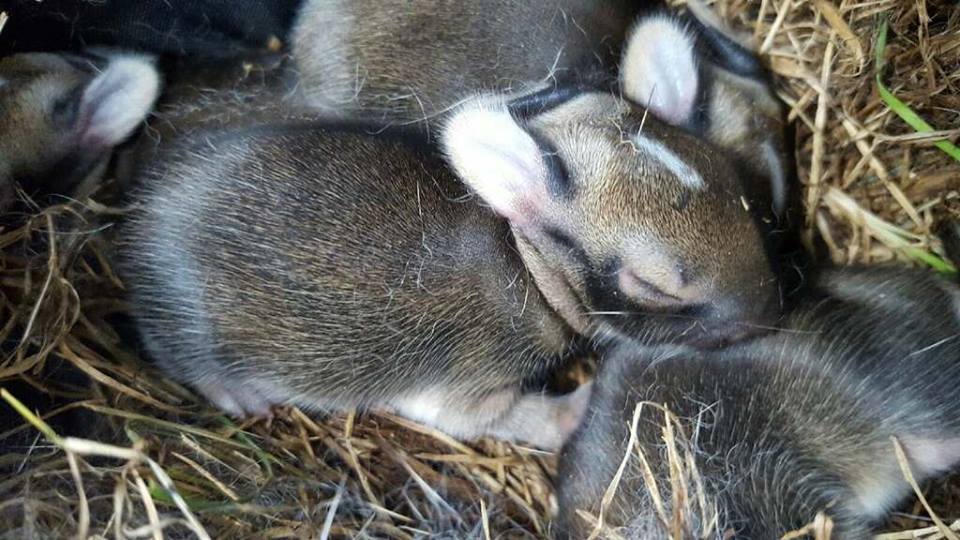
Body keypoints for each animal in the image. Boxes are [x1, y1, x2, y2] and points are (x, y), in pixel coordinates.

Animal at [116, 30, 784, 450]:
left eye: (735, 187)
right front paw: (581, 403)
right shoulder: (465, 385)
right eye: (654, 284)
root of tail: (138, 233)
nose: (768, 312)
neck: (529, 264)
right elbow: (505, 418)